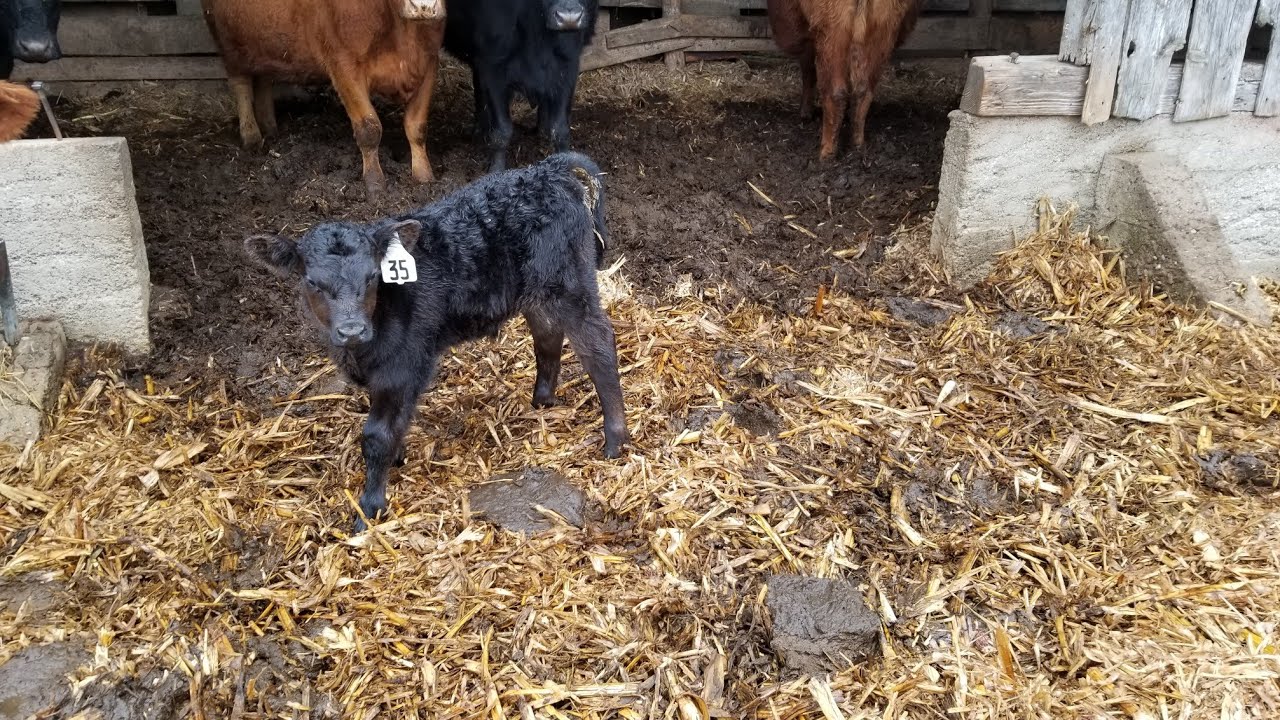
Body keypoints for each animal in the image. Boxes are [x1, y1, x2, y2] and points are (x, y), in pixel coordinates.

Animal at [199, 0, 446, 196]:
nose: (424, 7)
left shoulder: (429, 62)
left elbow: (417, 127)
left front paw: (424, 176)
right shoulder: (343, 64)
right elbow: (369, 129)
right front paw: (375, 184)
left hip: (265, 47)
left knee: (264, 80)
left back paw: (269, 127)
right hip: (228, 43)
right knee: (241, 85)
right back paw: (251, 135)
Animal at [245, 152, 629, 532]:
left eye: (372, 276)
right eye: (312, 282)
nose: (352, 329)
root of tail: (548, 170)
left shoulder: (403, 364)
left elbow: (376, 435)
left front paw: (370, 507)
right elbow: (395, 422)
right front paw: (396, 458)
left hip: (570, 283)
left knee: (598, 346)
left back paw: (615, 439)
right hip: (537, 291)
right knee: (547, 335)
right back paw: (542, 400)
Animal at [443, 0, 599, 173]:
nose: (569, 18)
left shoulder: (568, 66)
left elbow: (560, 129)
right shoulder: (492, 67)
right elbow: (502, 130)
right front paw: (496, 170)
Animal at [767, 0, 921, 159]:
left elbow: (808, 70)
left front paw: (805, 113)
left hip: (831, 35)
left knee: (835, 93)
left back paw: (826, 152)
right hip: (883, 33)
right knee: (864, 92)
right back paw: (858, 144)